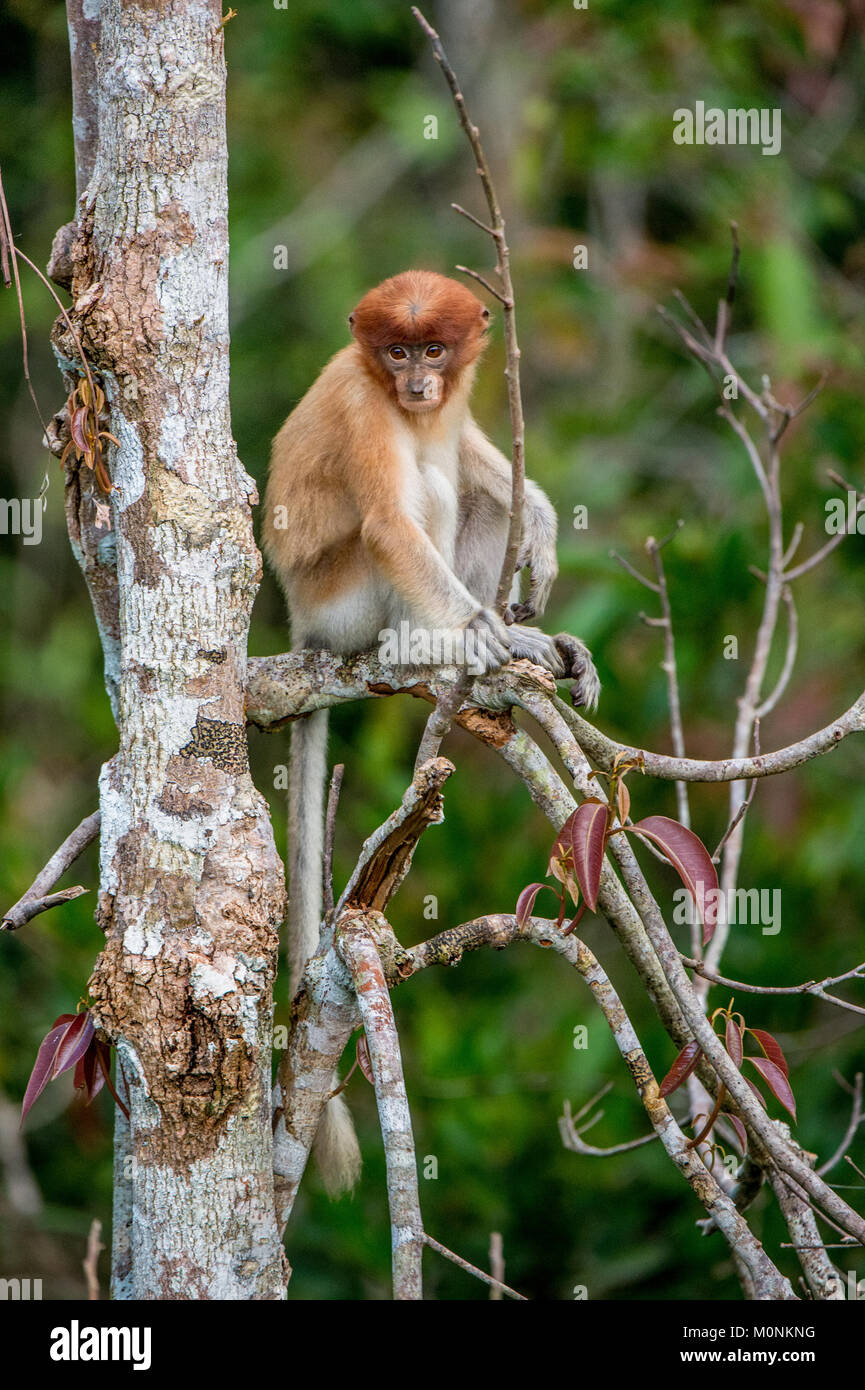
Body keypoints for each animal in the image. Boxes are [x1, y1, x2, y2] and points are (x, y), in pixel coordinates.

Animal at [263, 270, 599, 1195]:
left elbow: (478, 458)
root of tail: (302, 627)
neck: (397, 401)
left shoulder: (450, 409)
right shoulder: (362, 408)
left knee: (466, 489)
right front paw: (504, 640)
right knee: (417, 508)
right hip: (342, 600)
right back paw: (432, 647)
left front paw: (541, 539)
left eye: (436, 350)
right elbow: (391, 522)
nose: (417, 385)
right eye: (397, 352)